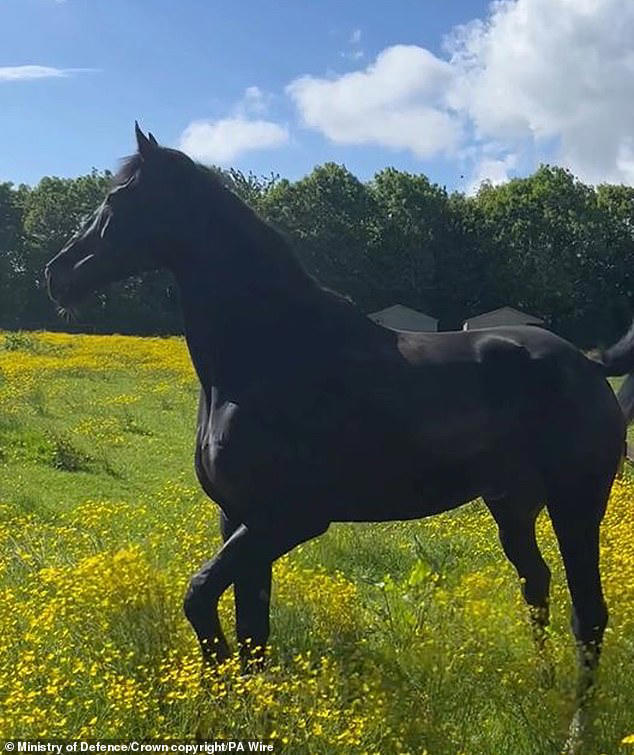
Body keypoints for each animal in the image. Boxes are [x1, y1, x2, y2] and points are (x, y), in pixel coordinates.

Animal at [45, 124, 633, 752]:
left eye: (118, 200)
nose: (57, 274)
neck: (266, 356)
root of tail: (588, 365)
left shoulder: (289, 519)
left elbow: (200, 595)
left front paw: (221, 694)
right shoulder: (238, 519)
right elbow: (253, 629)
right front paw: (253, 714)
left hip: (576, 504)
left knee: (587, 612)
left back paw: (575, 731)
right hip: (512, 506)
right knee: (536, 585)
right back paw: (543, 689)